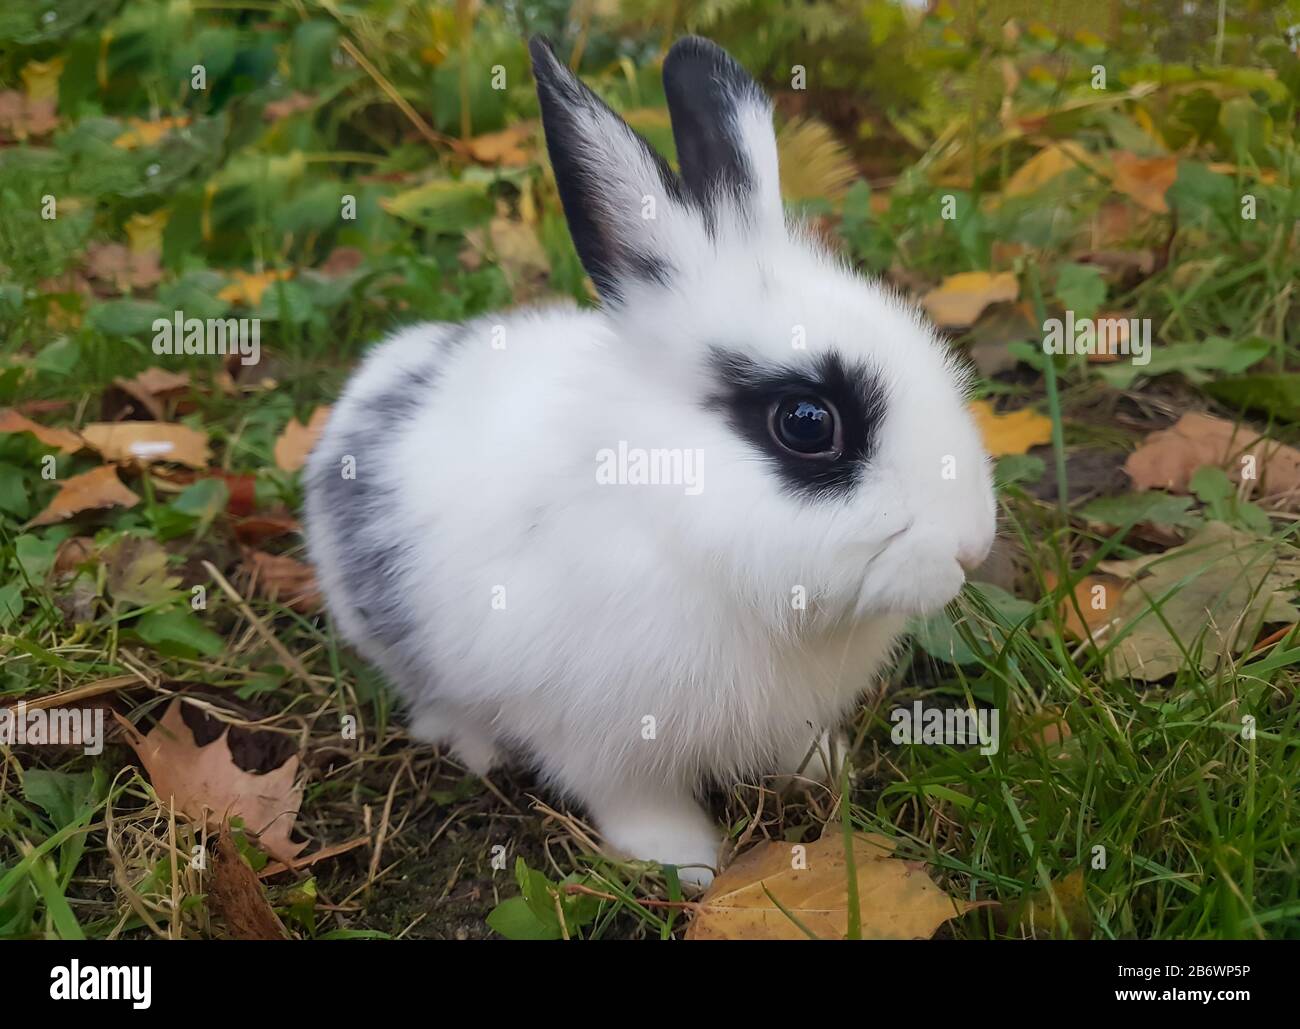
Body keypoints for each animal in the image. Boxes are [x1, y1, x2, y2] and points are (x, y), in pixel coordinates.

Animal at [303, 35, 996, 886]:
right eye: (806, 423)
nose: (972, 544)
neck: (672, 518)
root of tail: (373, 378)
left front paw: (830, 771)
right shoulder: (599, 738)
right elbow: (636, 802)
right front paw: (685, 865)